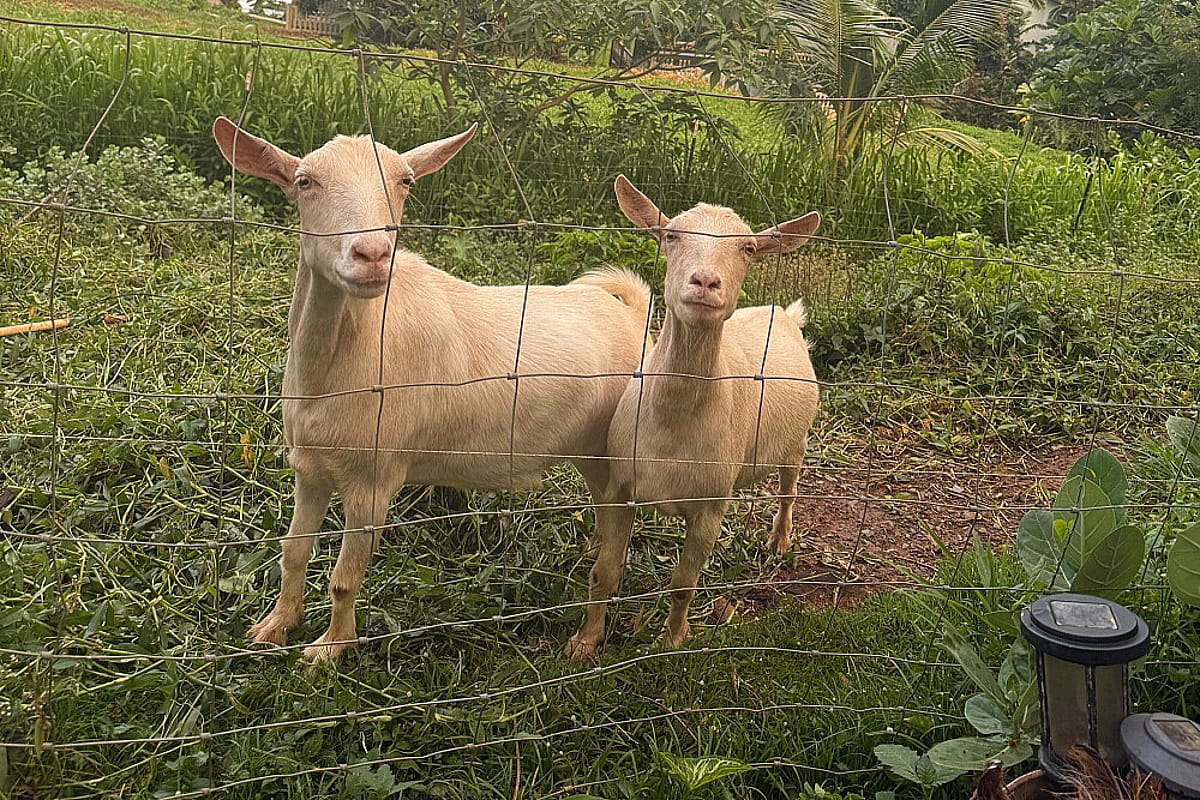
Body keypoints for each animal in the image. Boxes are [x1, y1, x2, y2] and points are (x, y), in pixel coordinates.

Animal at [212, 119, 652, 660]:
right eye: (304, 182)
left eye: (405, 181)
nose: (372, 254)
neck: (343, 359)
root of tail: (634, 315)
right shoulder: (309, 466)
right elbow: (293, 552)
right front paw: (274, 627)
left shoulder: (374, 481)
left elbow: (344, 578)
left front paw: (329, 650)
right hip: (591, 451)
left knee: (616, 538)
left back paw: (586, 638)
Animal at [566, 175, 820, 660]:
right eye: (670, 235)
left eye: (748, 248)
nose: (705, 281)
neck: (674, 424)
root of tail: (783, 314)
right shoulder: (622, 486)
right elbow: (605, 573)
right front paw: (584, 642)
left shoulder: (710, 506)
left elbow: (684, 584)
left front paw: (672, 640)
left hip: (797, 440)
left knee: (788, 489)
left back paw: (779, 542)